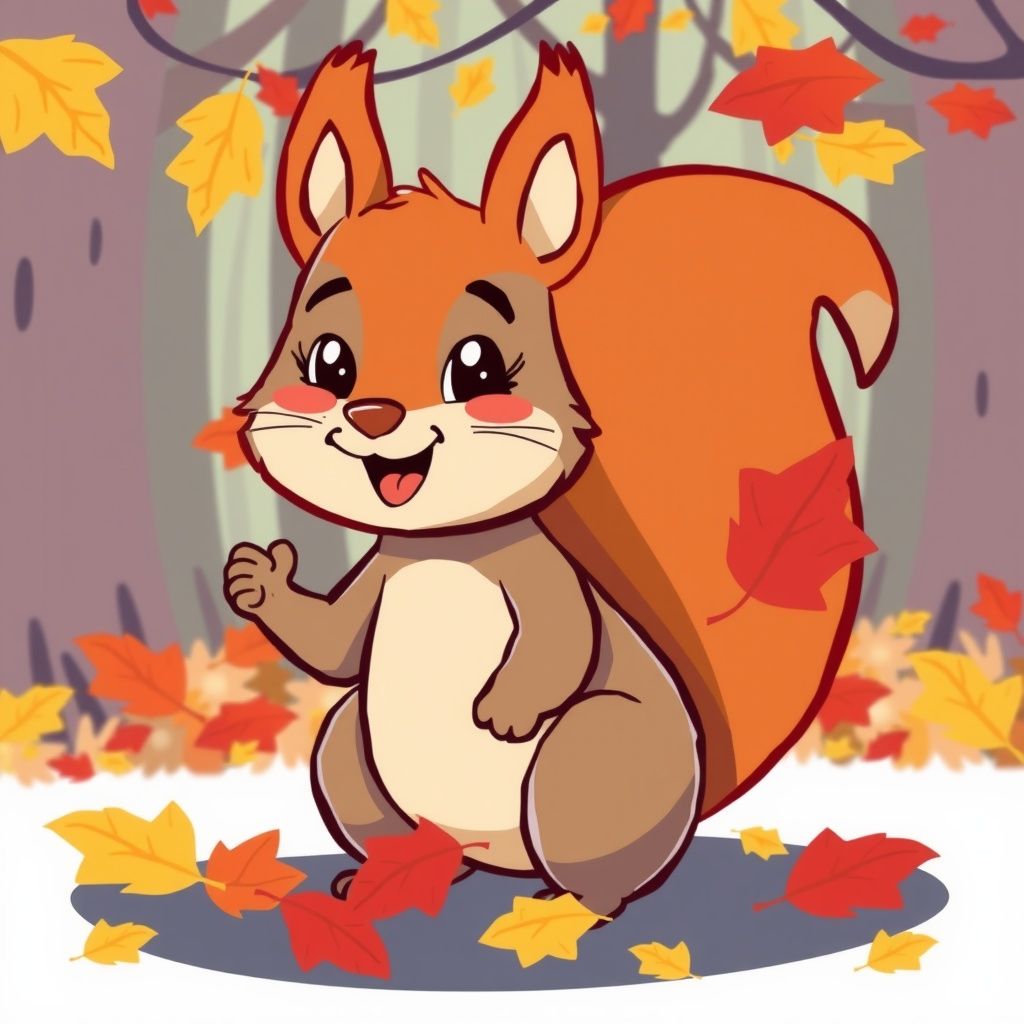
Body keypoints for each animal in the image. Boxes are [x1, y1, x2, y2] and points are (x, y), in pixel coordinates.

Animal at [224, 42, 897, 919]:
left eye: (477, 366)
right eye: (327, 361)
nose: (373, 416)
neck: (442, 546)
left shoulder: (545, 577)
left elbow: (564, 641)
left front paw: (507, 707)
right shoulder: (379, 576)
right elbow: (333, 648)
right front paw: (258, 579)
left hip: (587, 763)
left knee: (594, 871)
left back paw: (565, 910)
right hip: (350, 747)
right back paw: (385, 880)